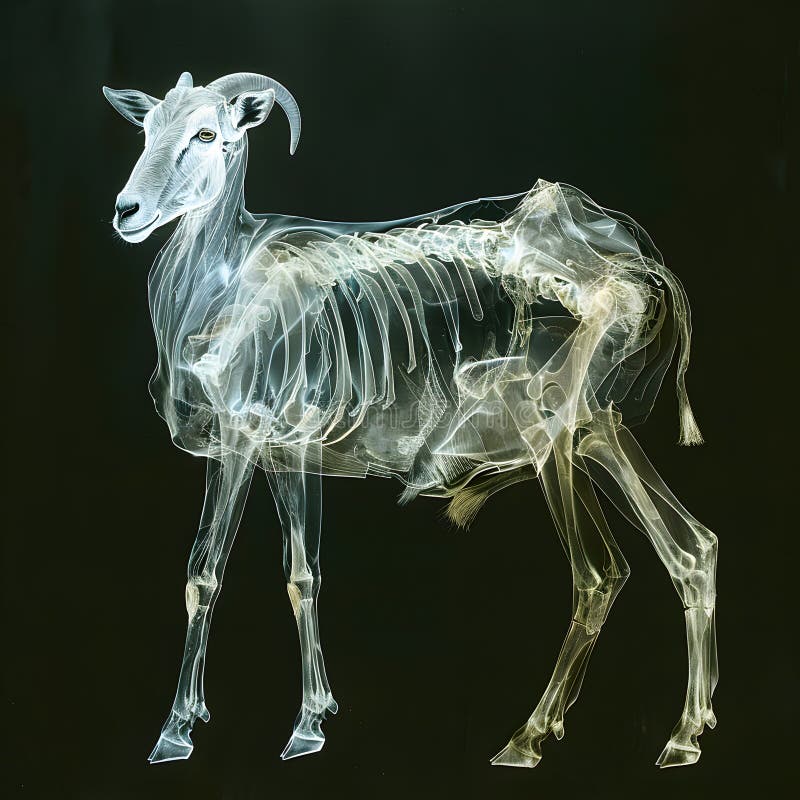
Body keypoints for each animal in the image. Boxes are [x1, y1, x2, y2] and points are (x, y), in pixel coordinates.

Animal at [104, 70, 717, 769]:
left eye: (207, 132)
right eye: (147, 128)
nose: (126, 210)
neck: (224, 289)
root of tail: (636, 255)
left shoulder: (239, 442)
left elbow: (205, 573)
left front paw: (176, 732)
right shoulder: (287, 455)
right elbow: (303, 574)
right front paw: (312, 721)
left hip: (553, 436)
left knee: (597, 575)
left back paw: (526, 740)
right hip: (601, 433)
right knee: (691, 549)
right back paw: (683, 736)